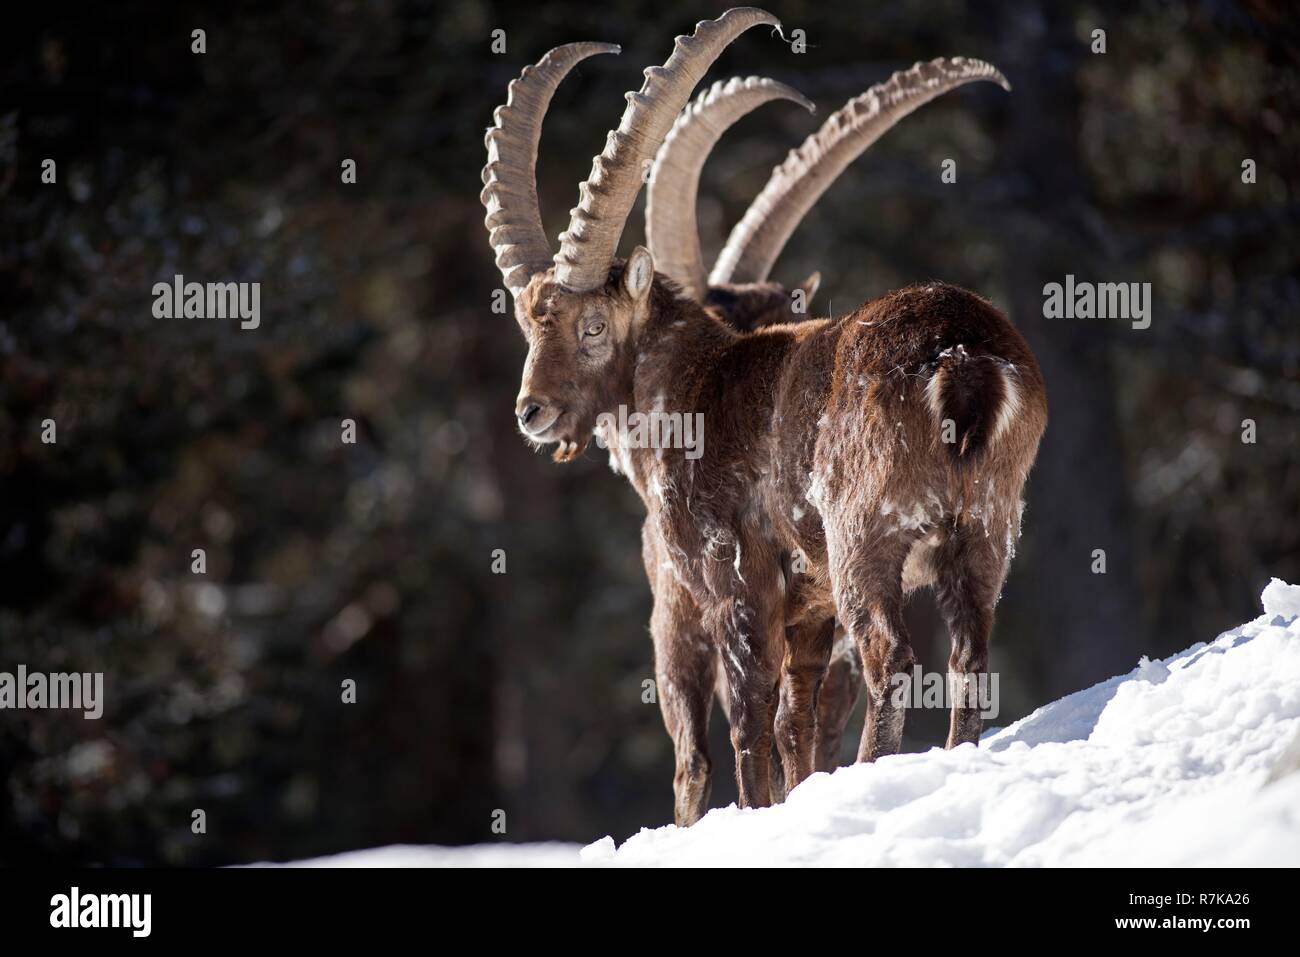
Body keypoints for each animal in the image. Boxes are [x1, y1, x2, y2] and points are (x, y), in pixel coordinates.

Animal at [482, 7, 1047, 825]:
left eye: (591, 327)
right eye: (531, 324)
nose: (533, 412)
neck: (691, 388)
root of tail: (962, 357)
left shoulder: (727, 584)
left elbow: (741, 731)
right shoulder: (805, 609)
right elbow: (792, 722)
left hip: (862, 535)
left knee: (890, 659)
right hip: (986, 529)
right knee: (968, 653)